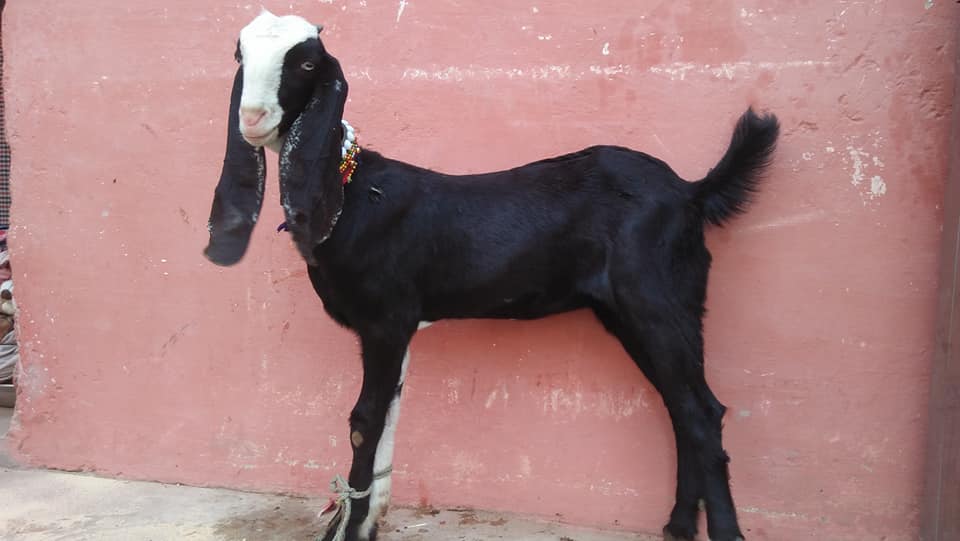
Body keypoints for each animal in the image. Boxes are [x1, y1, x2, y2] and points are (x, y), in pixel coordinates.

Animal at [204, 10, 779, 541]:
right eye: (239, 56)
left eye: (305, 63)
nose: (251, 117)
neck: (351, 193)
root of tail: (690, 192)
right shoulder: (396, 327)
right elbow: (387, 417)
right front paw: (365, 522)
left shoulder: (386, 318)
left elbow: (364, 422)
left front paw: (347, 531)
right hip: (647, 309)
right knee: (681, 406)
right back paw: (678, 526)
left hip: (655, 296)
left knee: (702, 411)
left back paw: (722, 530)